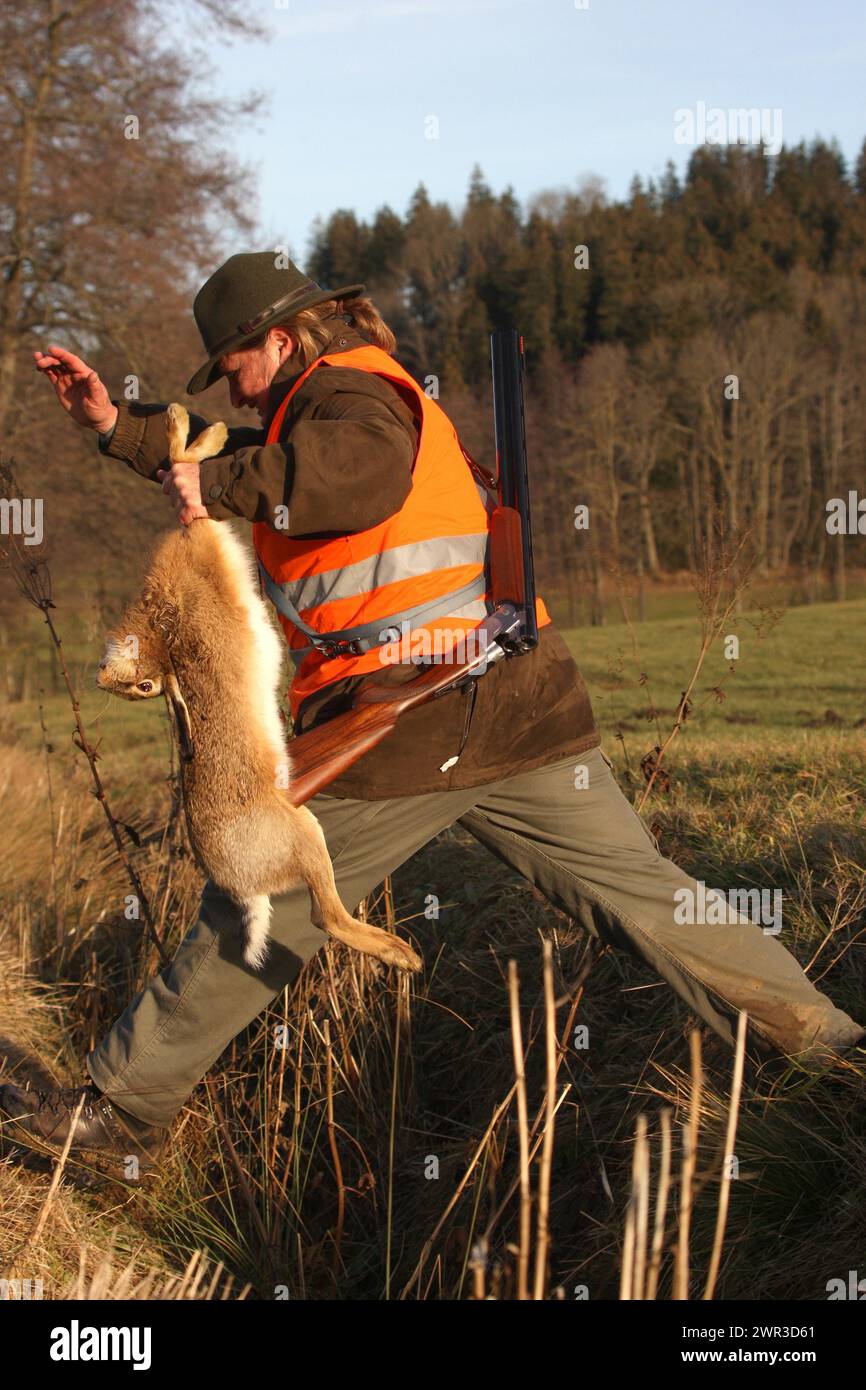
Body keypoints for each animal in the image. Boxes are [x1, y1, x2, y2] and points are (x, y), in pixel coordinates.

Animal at [96, 403, 422, 976]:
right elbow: (184, 467)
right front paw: (194, 430)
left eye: (145, 687)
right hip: (304, 835)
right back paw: (401, 955)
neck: (162, 625)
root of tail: (240, 883)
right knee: (325, 915)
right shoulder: (197, 533)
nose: (128, 681)